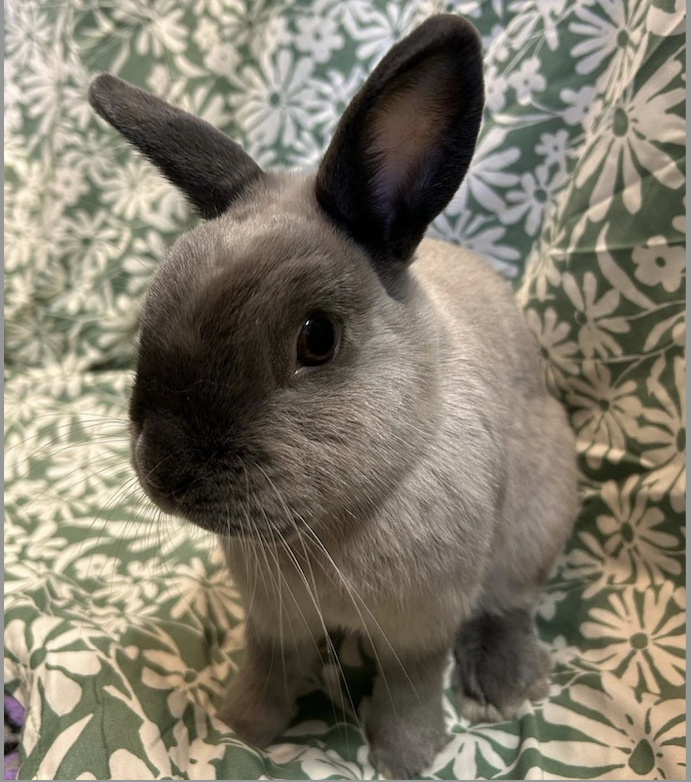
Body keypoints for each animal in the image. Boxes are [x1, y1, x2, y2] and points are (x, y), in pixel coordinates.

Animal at [89, 14, 577, 779]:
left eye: (316, 338)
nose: (165, 471)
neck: (326, 525)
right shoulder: (270, 622)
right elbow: (266, 667)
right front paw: (239, 727)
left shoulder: (422, 628)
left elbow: (409, 688)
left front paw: (408, 758)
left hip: (538, 514)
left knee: (512, 604)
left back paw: (504, 684)